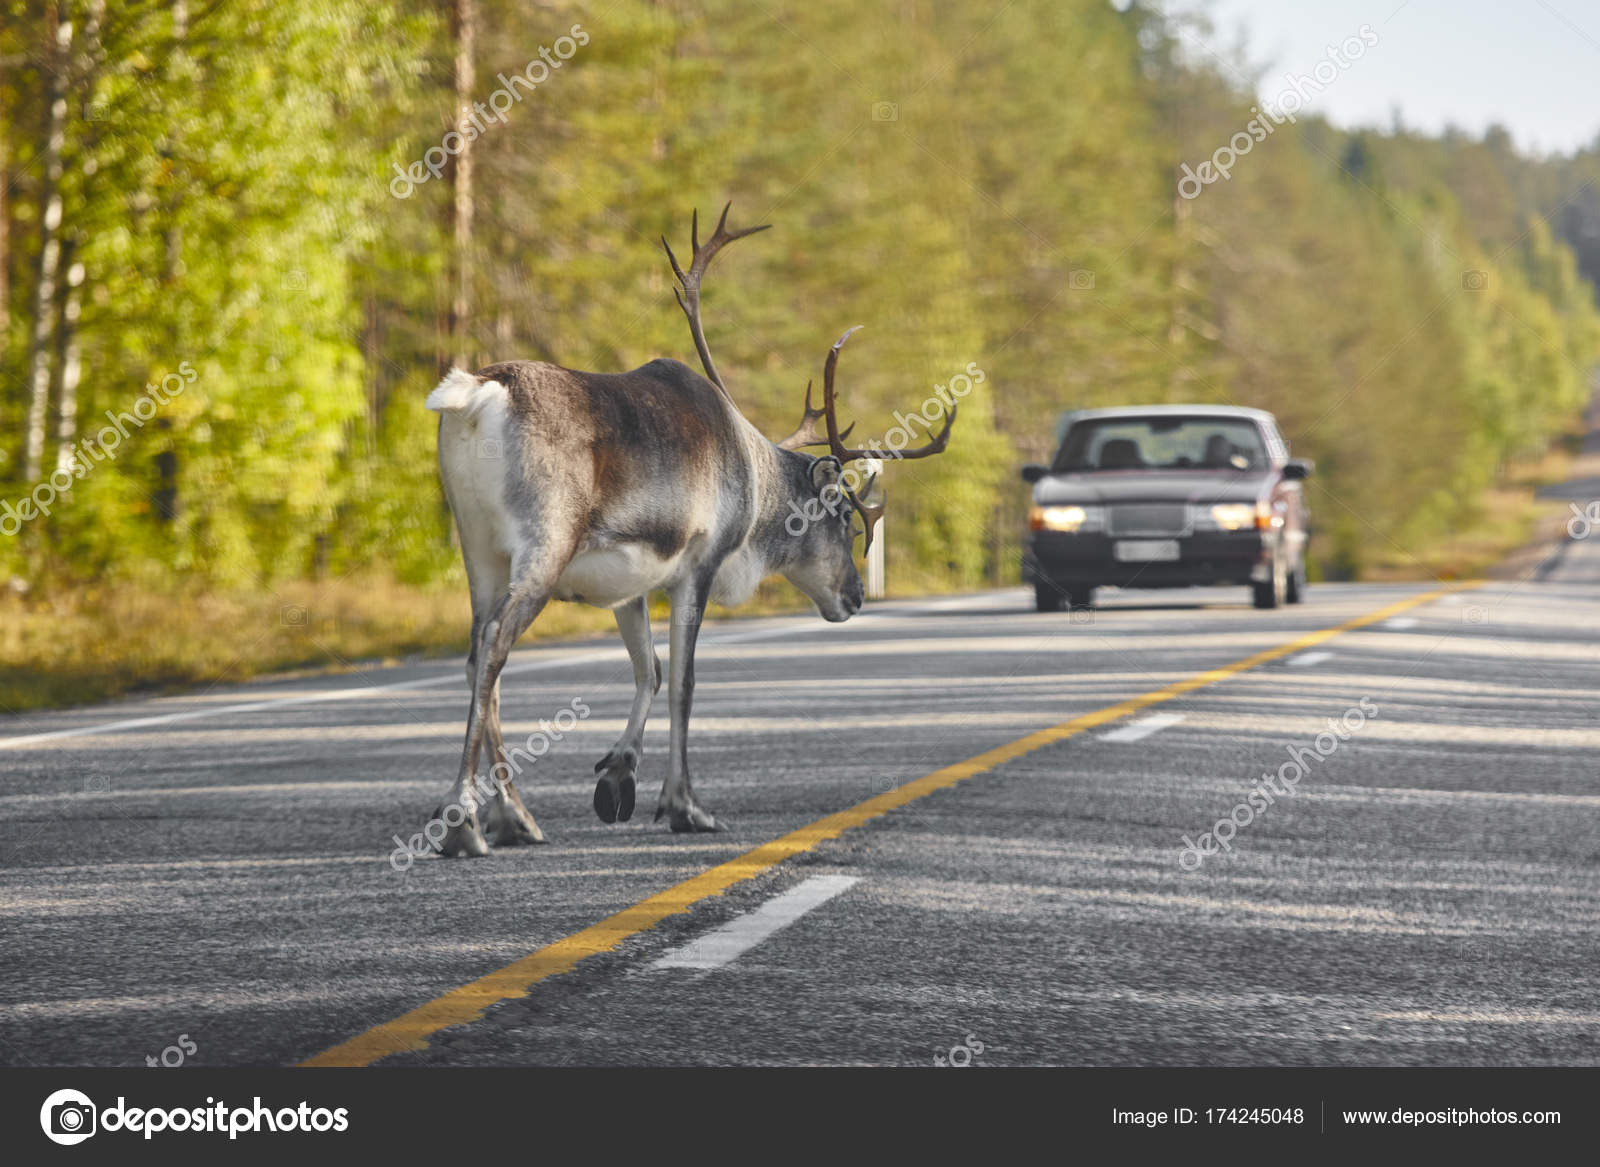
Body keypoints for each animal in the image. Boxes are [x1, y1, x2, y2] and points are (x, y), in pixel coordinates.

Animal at [422, 205, 955, 854]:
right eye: (845, 519)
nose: (855, 597)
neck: (754, 478)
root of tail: (477, 394)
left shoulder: (627, 586)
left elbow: (648, 670)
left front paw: (618, 776)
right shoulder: (700, 564)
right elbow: (684, 680)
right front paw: (685, 806)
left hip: (478, 549)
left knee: (479, 653)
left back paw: (515, 818)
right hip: (544, 547)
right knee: (497, 645)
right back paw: (464, 822)